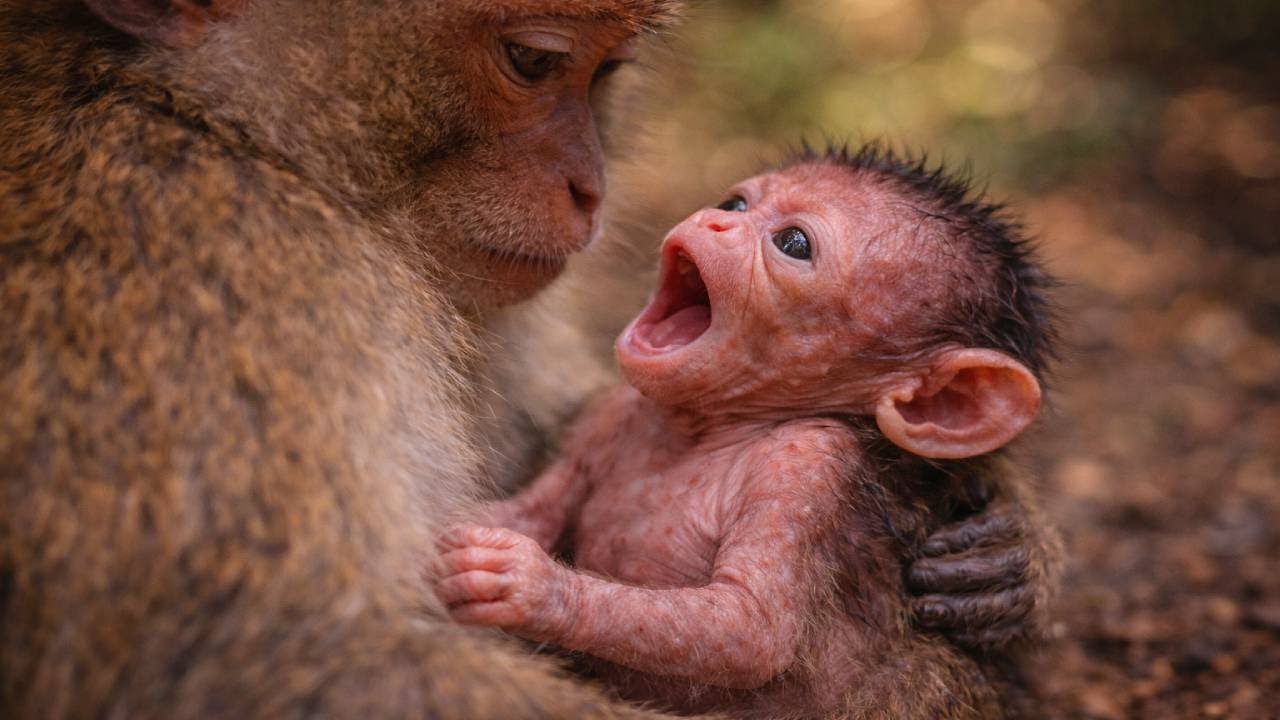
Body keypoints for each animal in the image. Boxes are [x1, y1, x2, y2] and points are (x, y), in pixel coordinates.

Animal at [434, 145, 1059, 719]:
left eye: (794, 244)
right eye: (735, 204)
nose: (716, 222)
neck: (698, 427)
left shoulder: (806, 466)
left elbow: (746, 629)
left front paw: (528, 584)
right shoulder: (607, 417)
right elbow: (538, 508)